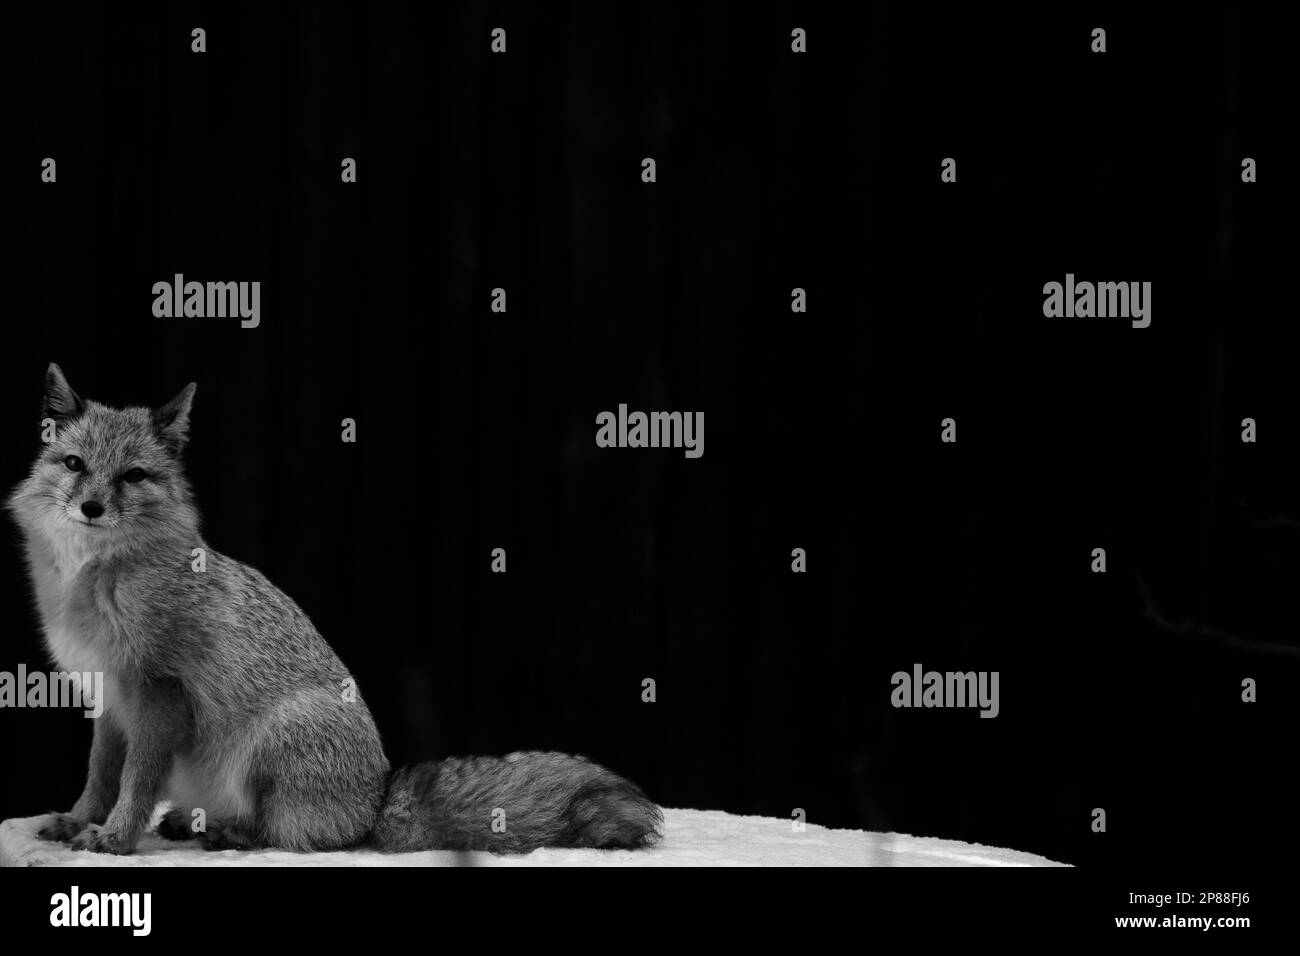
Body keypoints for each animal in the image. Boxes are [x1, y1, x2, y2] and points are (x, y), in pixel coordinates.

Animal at [7, 363, 662, 856]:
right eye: (75, 465)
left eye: (133, 475)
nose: (91, 507)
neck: (94, 581)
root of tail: (375, 800)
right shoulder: (109, 697)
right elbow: (100, 776)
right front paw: (80, 820)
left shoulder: (158, 694)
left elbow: (137, 782)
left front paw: (116, 837)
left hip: (270, 741)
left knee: (296, 835)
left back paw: (227, 830)